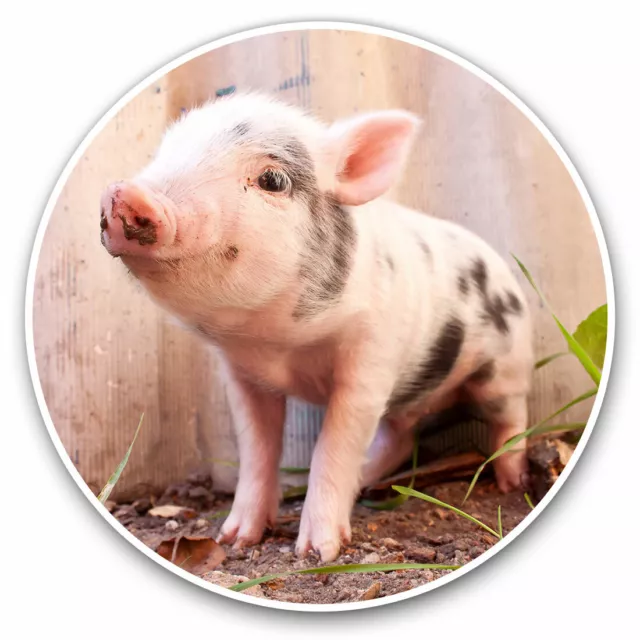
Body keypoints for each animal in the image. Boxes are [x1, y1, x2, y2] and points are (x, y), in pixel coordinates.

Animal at [100, 91, 533, 562]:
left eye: (273, 179)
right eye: (163, 153)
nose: (124, 193)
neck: (279, 345)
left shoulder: (370, 359)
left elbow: (335, 444)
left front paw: (317, 553)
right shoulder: (241, 375)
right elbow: (256, 448)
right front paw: (234, 539)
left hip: (503, 369)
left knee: (511, 418)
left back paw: (513, 482)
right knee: (400, 436)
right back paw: (369, 478)